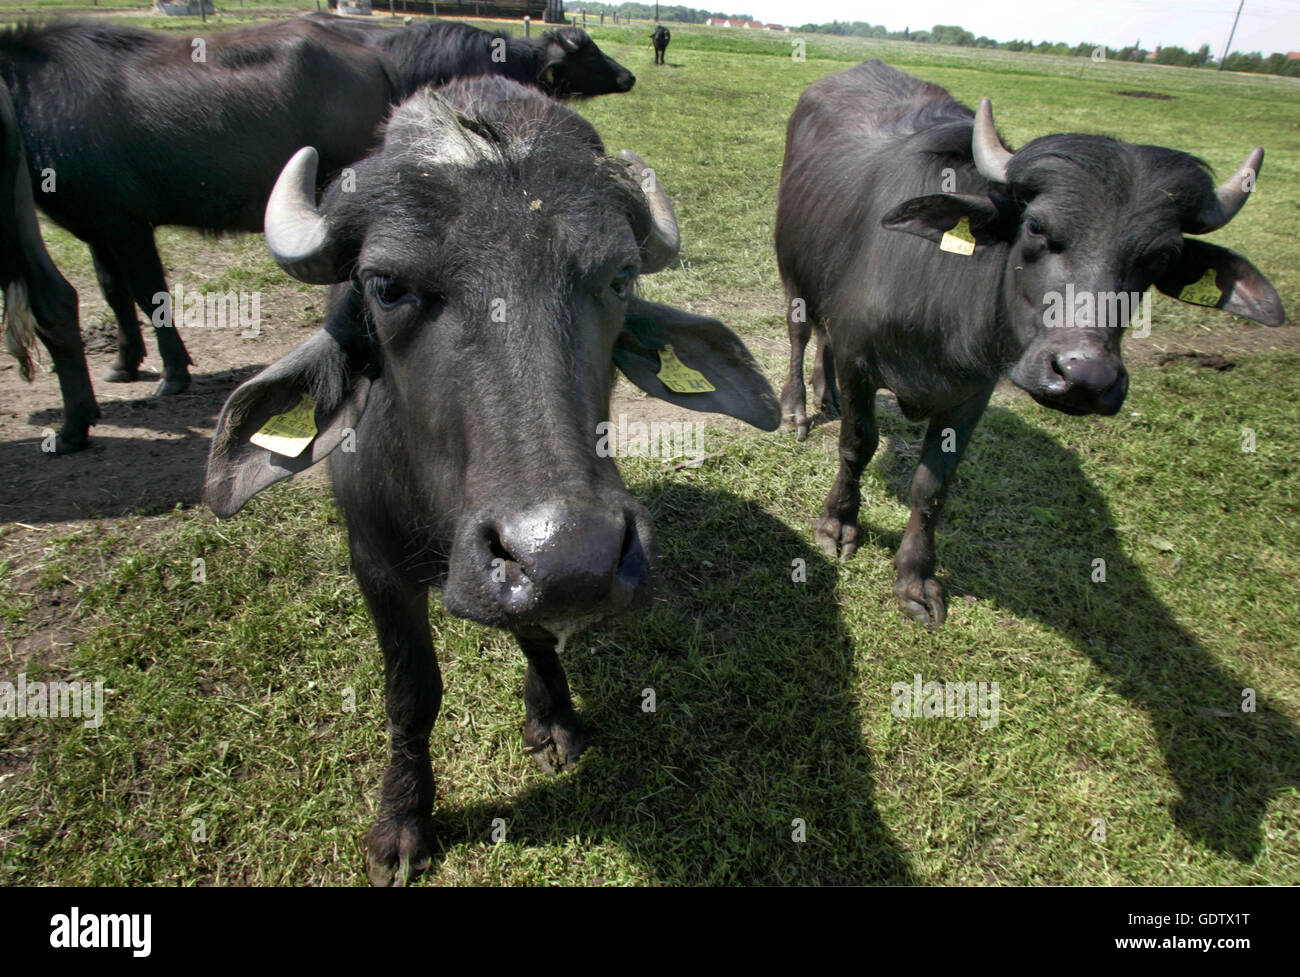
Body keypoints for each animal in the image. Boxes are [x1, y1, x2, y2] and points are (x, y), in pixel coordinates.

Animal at [204, 76, 780, 884]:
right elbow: (411, 692)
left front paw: (554, 718)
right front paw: (402, 821)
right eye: (386, 285)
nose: (570, 553)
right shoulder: (373, 563)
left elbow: (537, 630)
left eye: (620, 275)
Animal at [775, 60, 1284, 626]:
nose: (1085, 378)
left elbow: (934, 484)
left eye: (1160, 260)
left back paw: (827, 392)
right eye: (1038, 228)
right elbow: (857, 444)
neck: (939, 292)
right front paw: (838, 524)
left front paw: (916, 578)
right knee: (801, 332)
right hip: (791, 267)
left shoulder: (973, 391)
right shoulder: (860, 359)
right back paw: (798, 408)